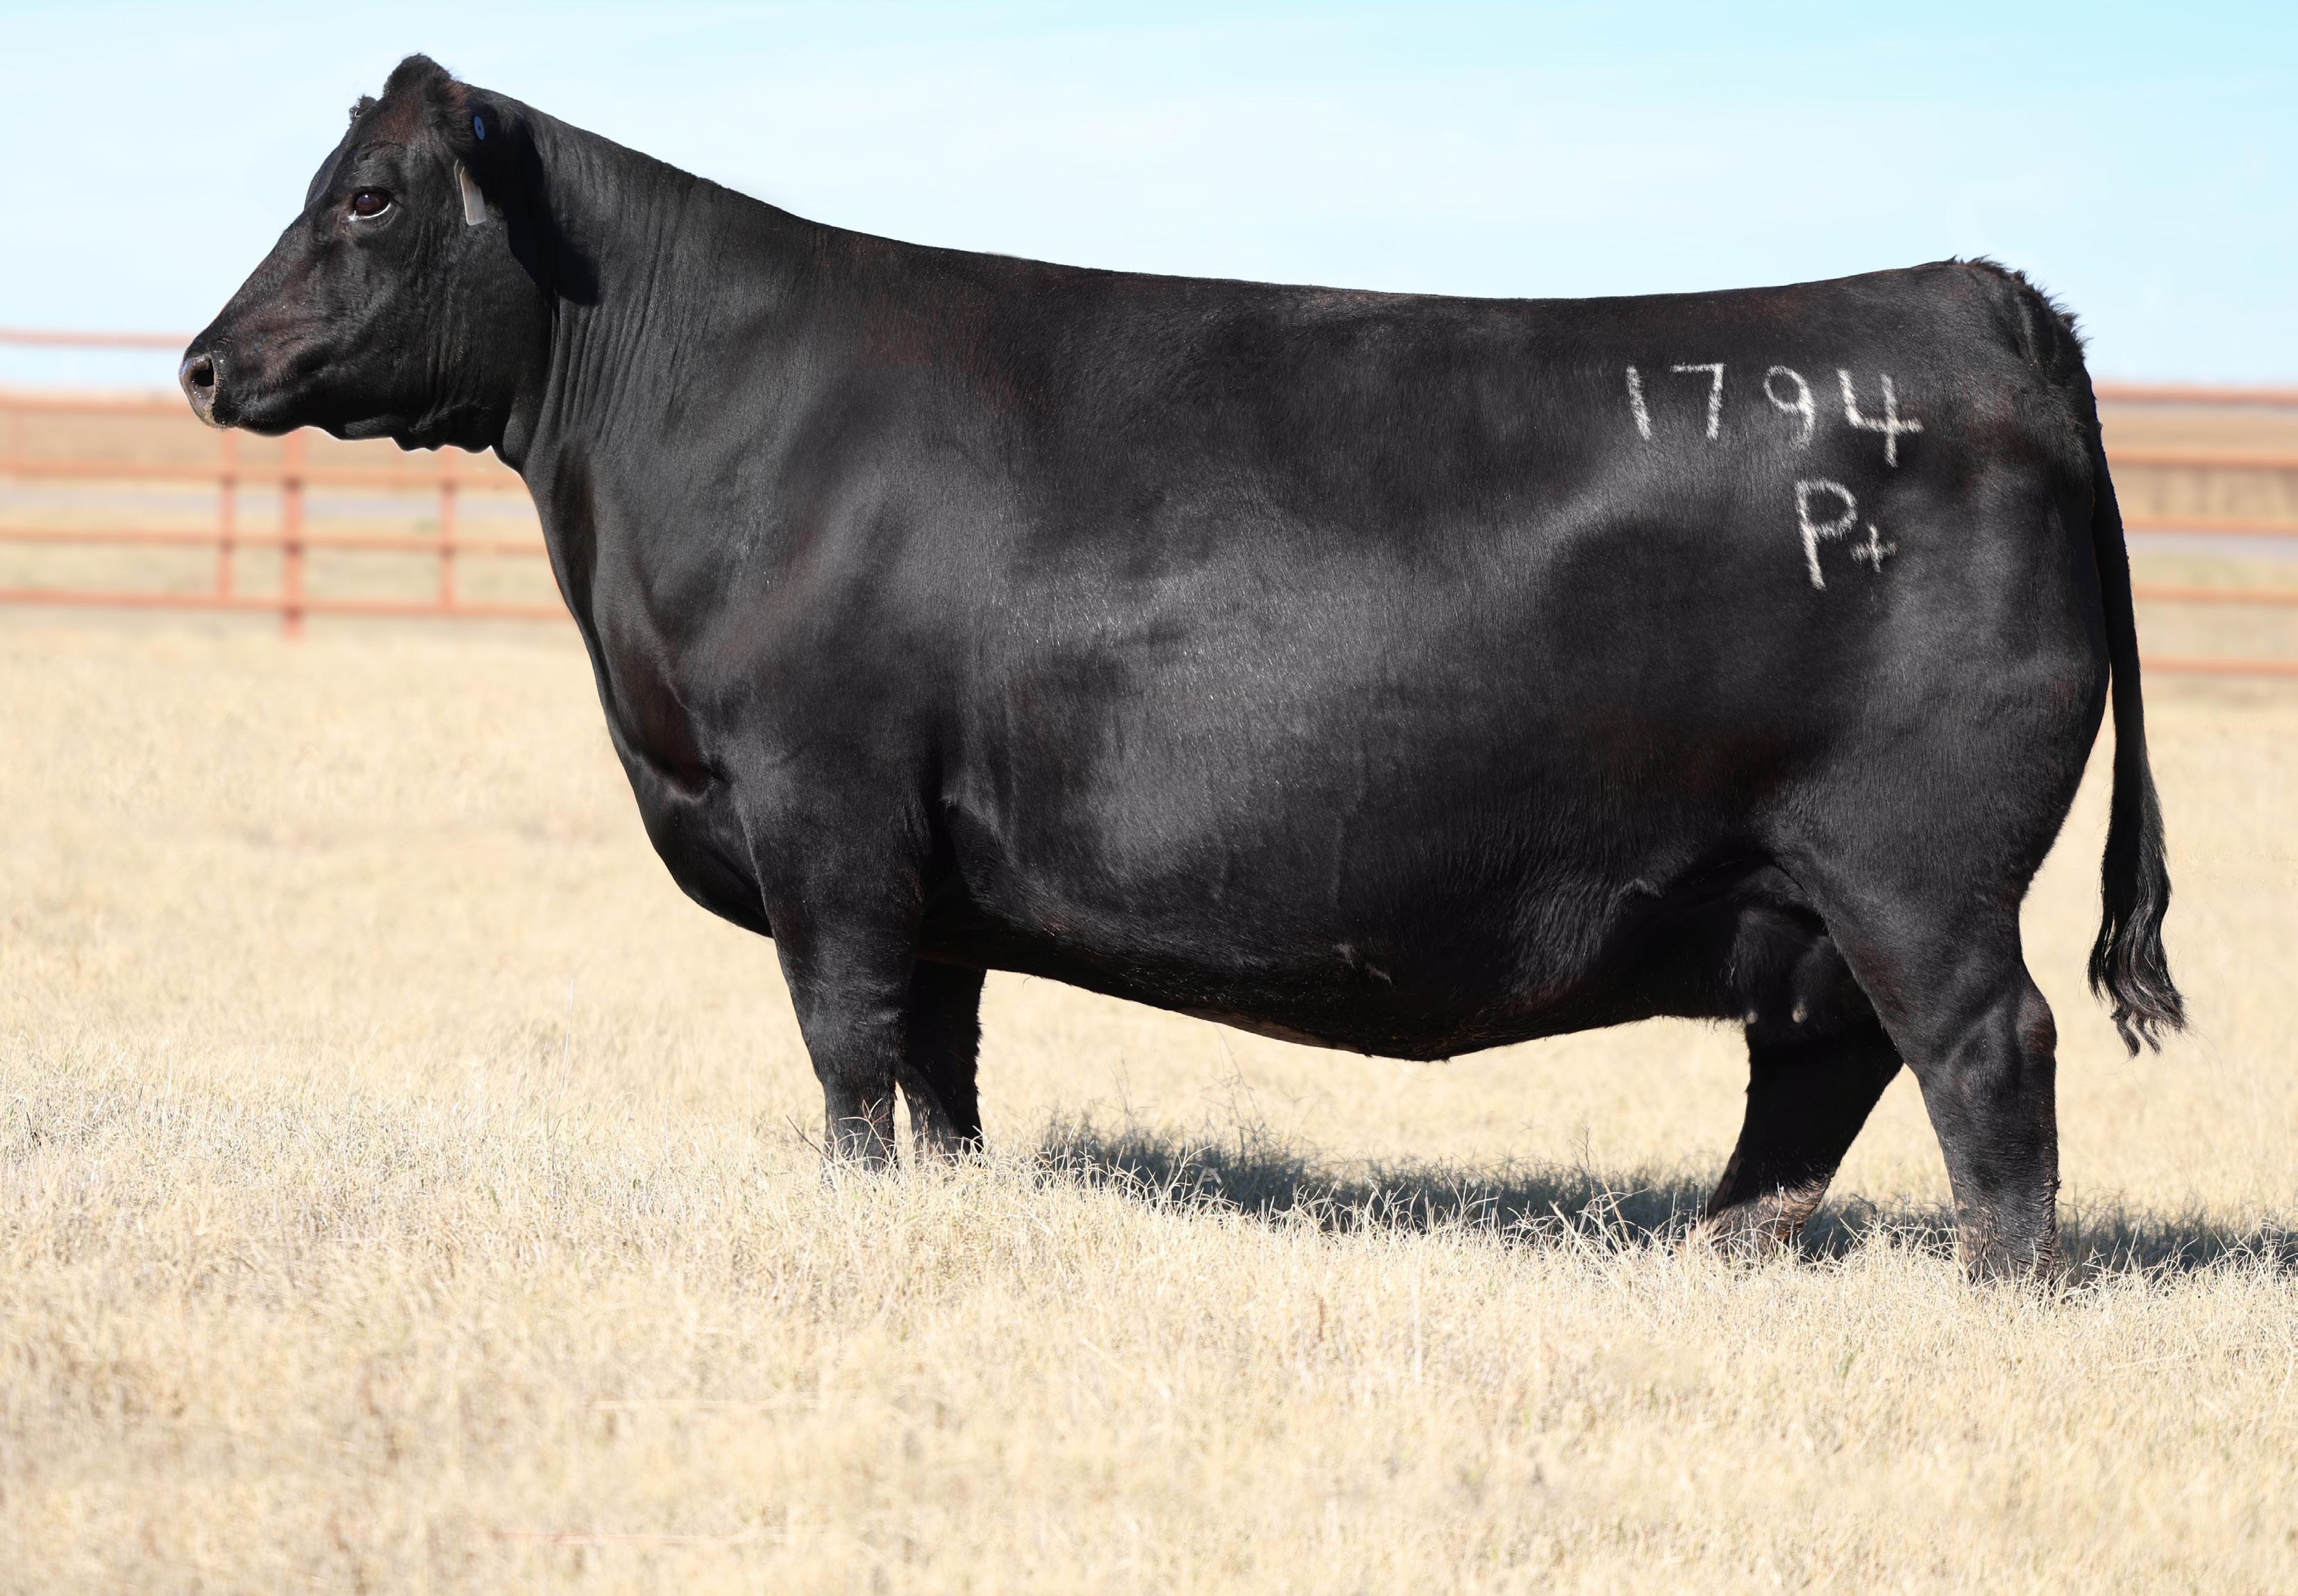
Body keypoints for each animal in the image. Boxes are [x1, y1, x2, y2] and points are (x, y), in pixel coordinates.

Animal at [181, 55, 2182, 1278]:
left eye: (368, 197)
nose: (205, 361)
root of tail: (1975, 295)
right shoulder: (934, 868)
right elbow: (941, 1064)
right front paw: (946, 1207)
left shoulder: (824, 805)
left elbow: (848, 1047)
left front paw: (853, 1213)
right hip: (1807, 884)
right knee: (1817, 1067)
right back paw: (1714, 1254)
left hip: (1912, 860)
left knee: (1979, 1050)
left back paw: (1996, 1292)